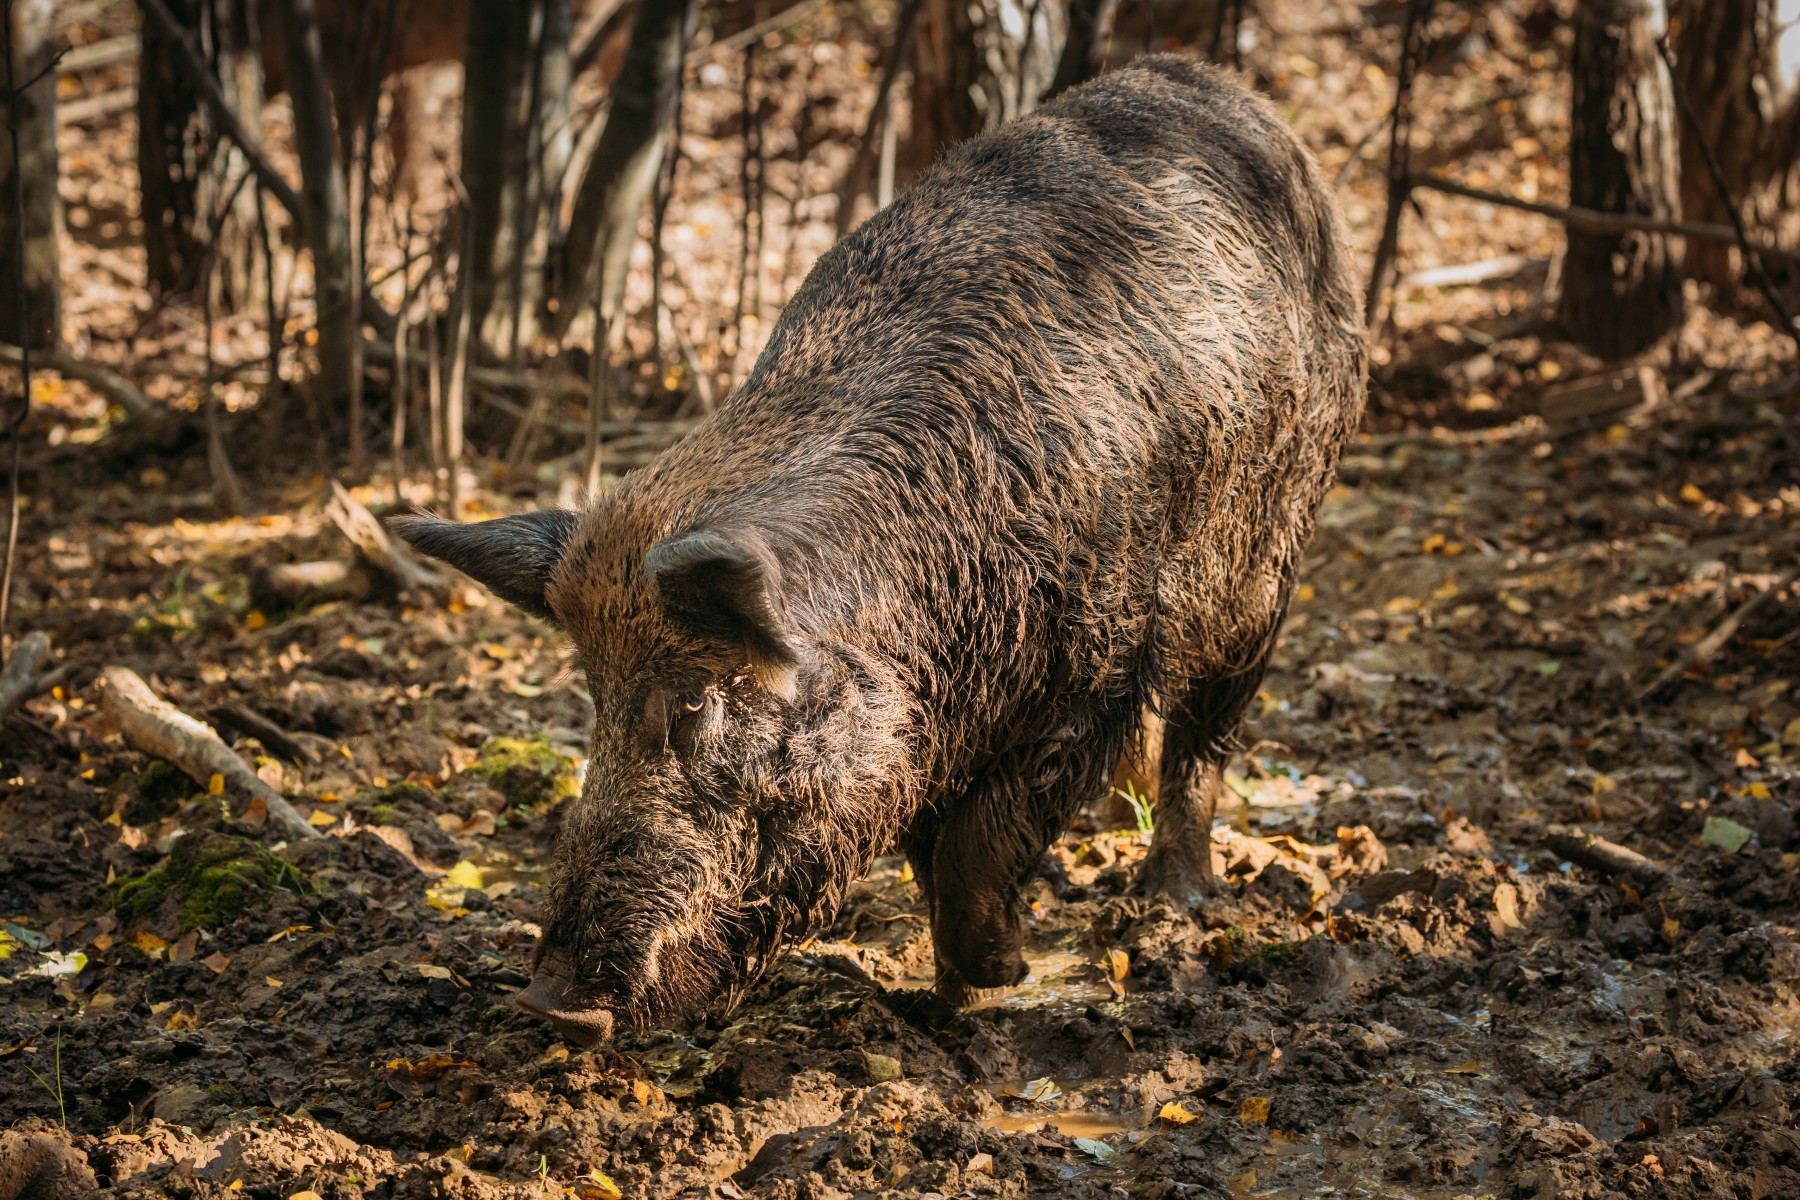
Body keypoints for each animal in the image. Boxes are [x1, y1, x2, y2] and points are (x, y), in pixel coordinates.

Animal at [393, 54, 1366, 1044]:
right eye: (594, 699)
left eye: (697, 701)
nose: (549, 1002)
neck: (938, 609)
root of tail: (1235, 98)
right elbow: (935, 844)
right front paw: (956, 991)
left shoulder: (1098, 671)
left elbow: (985, 837)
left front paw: (991, 983)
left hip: (1274, 557)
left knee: (1208, 734)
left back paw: (1174, 904)